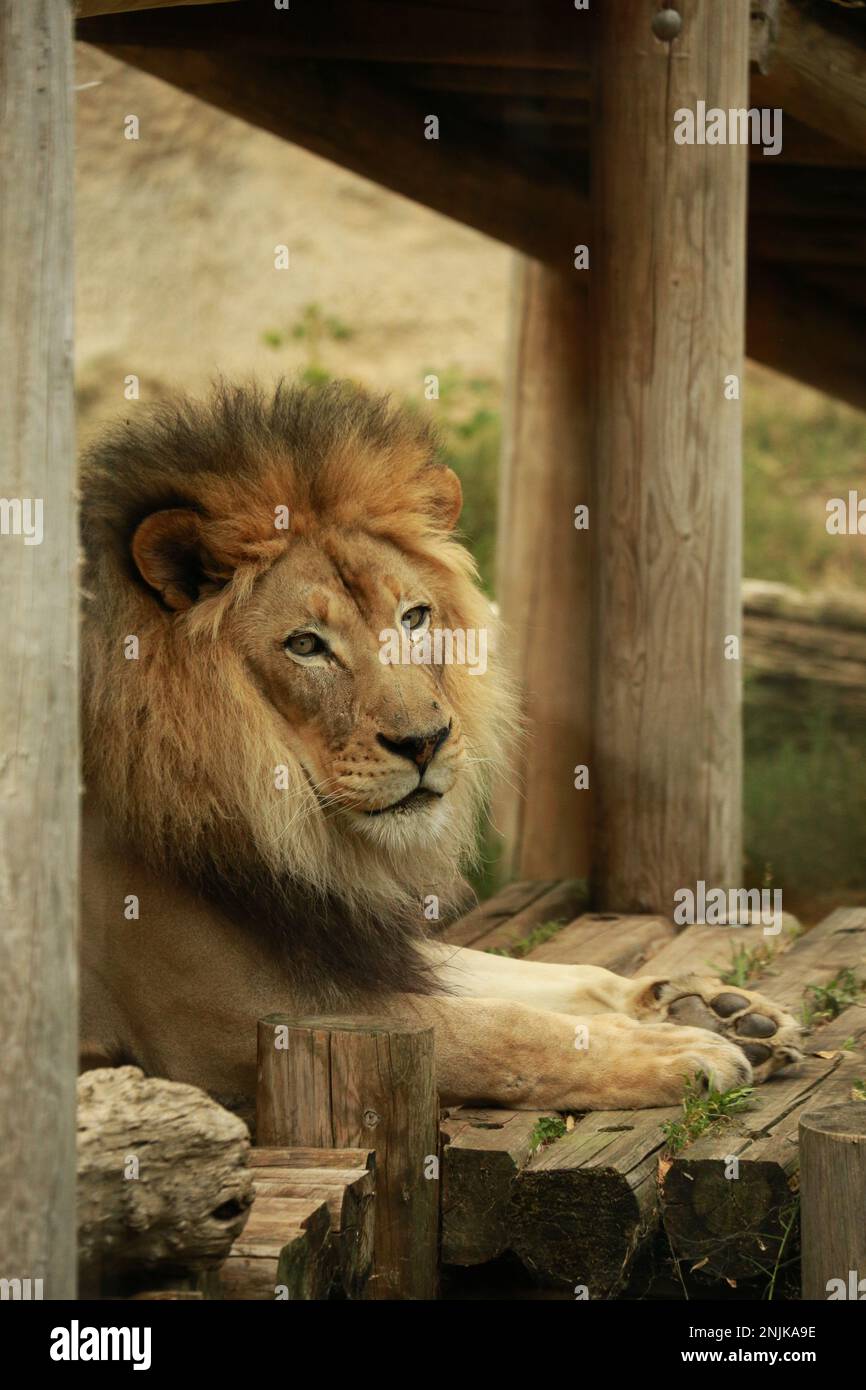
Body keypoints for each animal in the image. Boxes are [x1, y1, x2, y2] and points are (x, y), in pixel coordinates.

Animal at [80, 380, 802, 1122]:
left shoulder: (351, 946)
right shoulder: (219, 1020)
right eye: (305, 644)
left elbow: (544, 975)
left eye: (415, 618)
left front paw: (718, 1008)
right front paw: (673, 1049)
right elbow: (496, 1027)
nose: (425, 743)